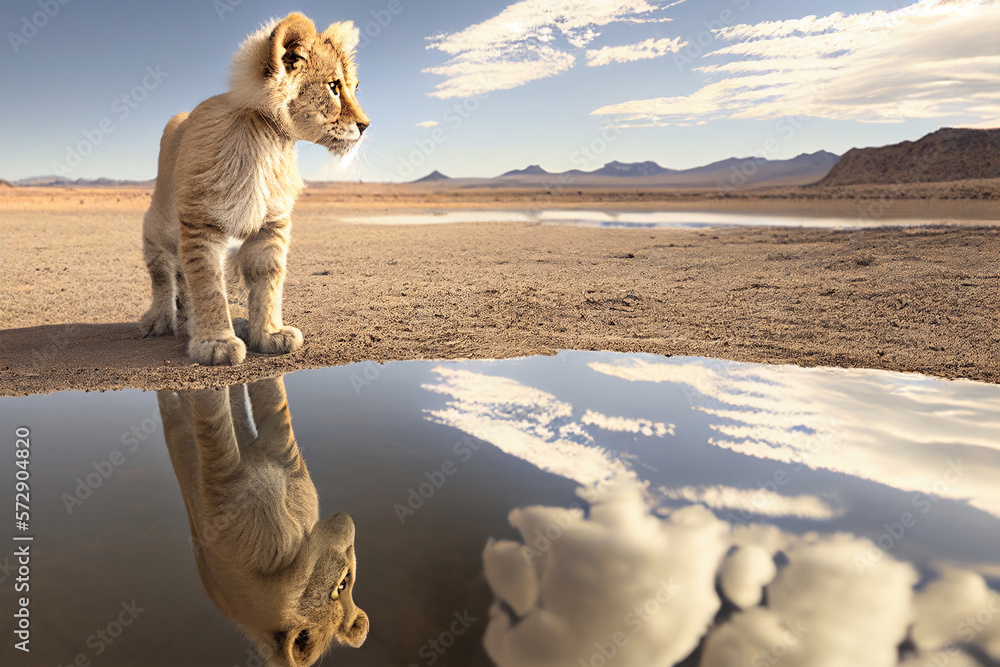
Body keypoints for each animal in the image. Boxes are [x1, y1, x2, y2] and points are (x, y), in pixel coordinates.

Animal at [140, 13, 369, 365]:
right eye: (333, 87)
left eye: (354, 87)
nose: (366, 125)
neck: (268, 139)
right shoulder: (199, 223)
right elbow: (207, 284)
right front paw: (216, 343)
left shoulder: (273, 223)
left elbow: (269, 279)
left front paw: (269, 334)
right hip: (156, 227)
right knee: (164, 274)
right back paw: (160, 320)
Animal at [157, 375, 368, 666]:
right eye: (342, 584)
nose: (349, 520)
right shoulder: (246, 465)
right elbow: (250, 406)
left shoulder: (274, 455)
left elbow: (263, 405)